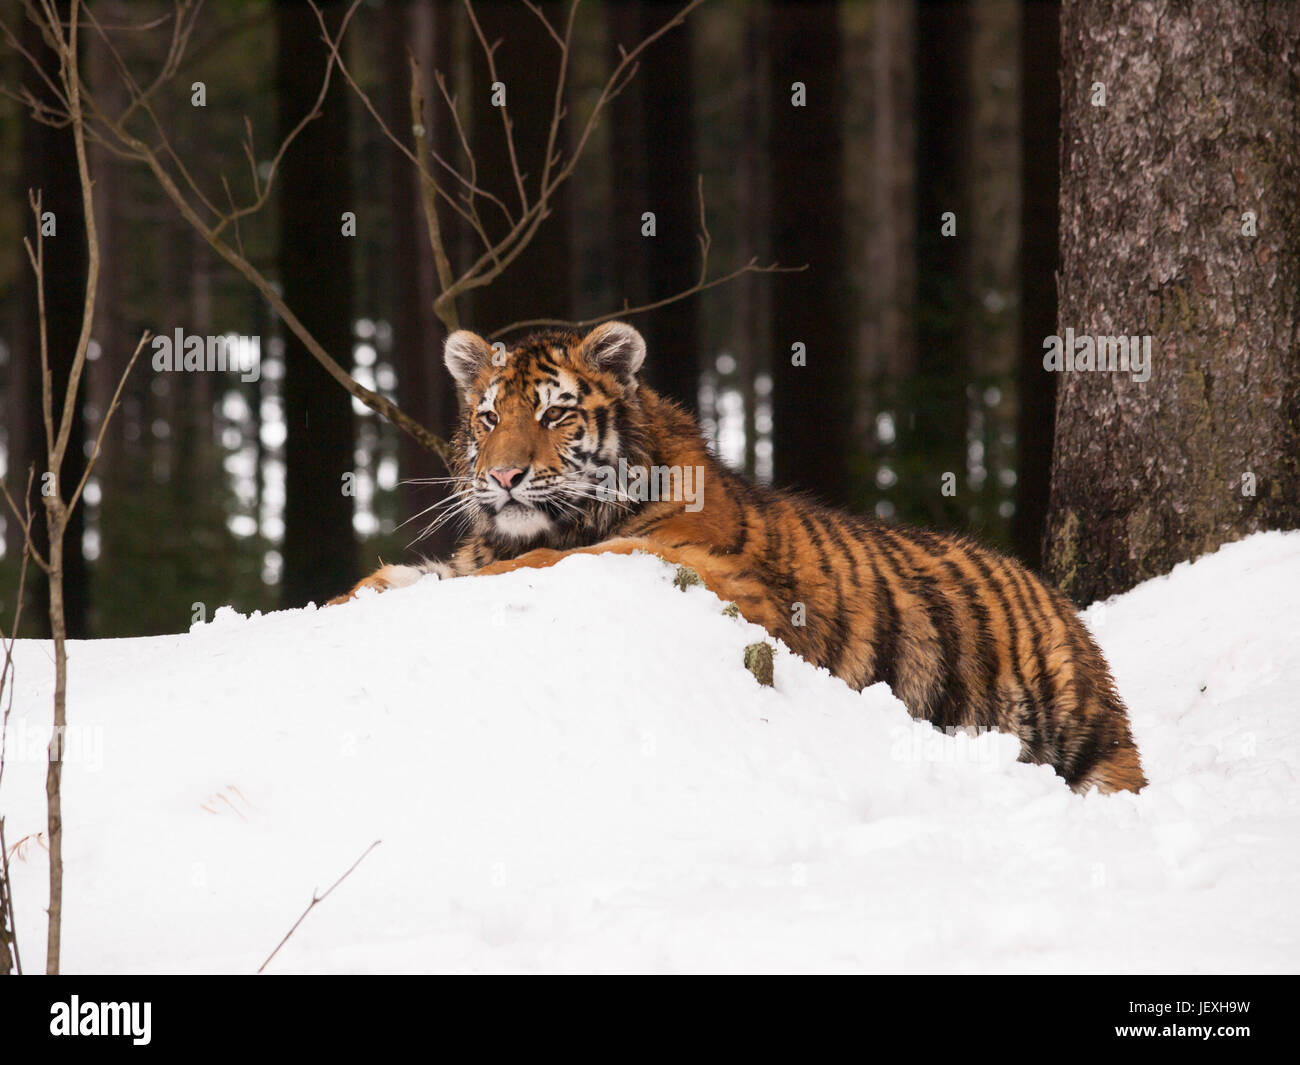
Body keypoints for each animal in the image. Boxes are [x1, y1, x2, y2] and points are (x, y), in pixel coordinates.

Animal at [331, 321, 1147, 794]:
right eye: (489, 417)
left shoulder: (725, 579)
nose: (502, 476)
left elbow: (559, 564)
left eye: (556, 413)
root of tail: (1062, 602)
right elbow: (388, 579)